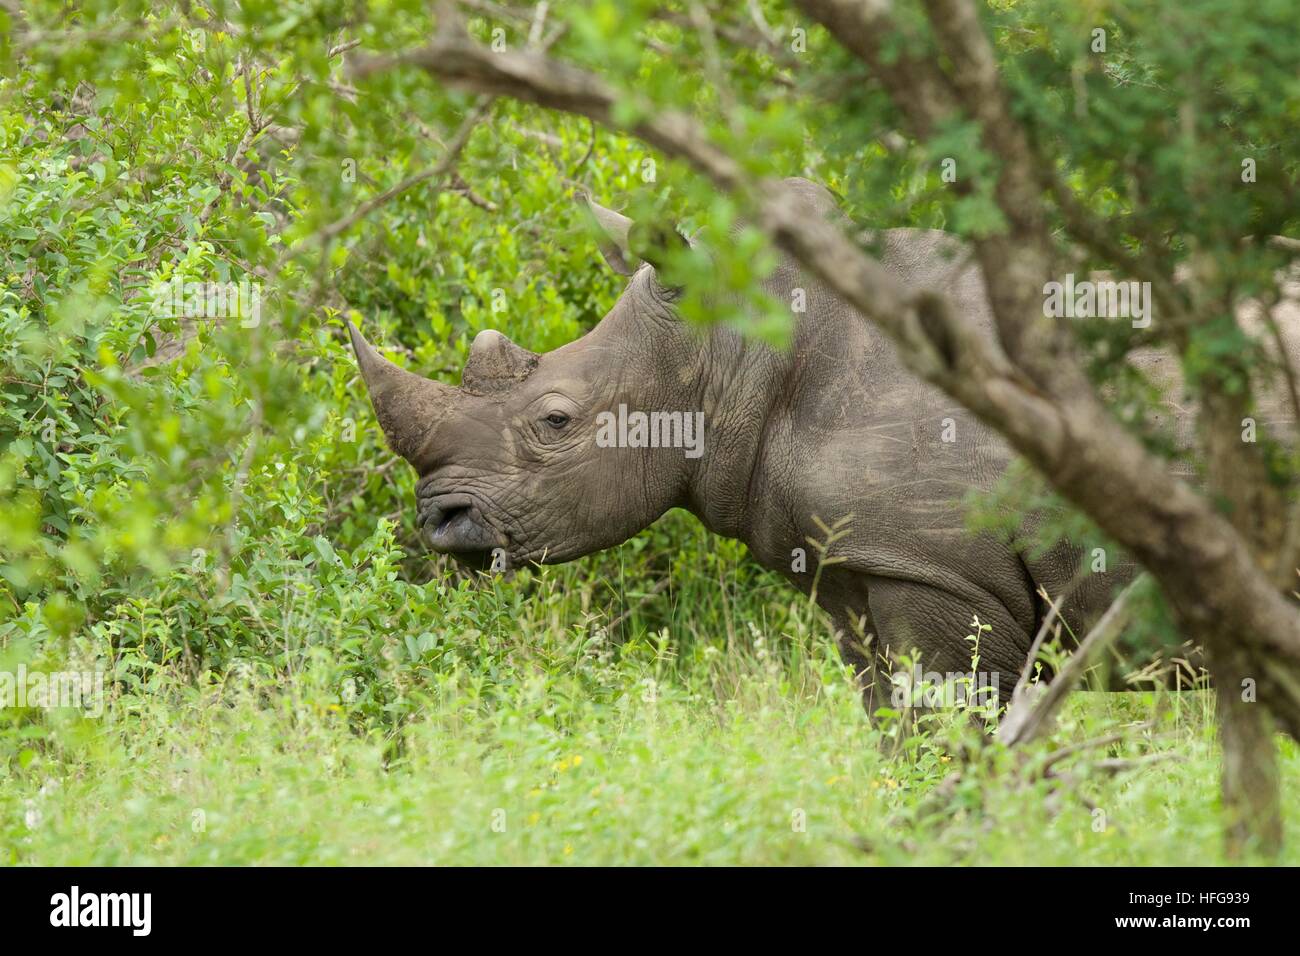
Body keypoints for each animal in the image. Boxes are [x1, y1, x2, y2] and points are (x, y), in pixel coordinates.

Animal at [345, 178, 1293, 707]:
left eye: (556, 421)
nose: (439, 520)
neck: (732, 346)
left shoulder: (942, 568)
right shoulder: (860, 565)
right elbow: (891, 729)